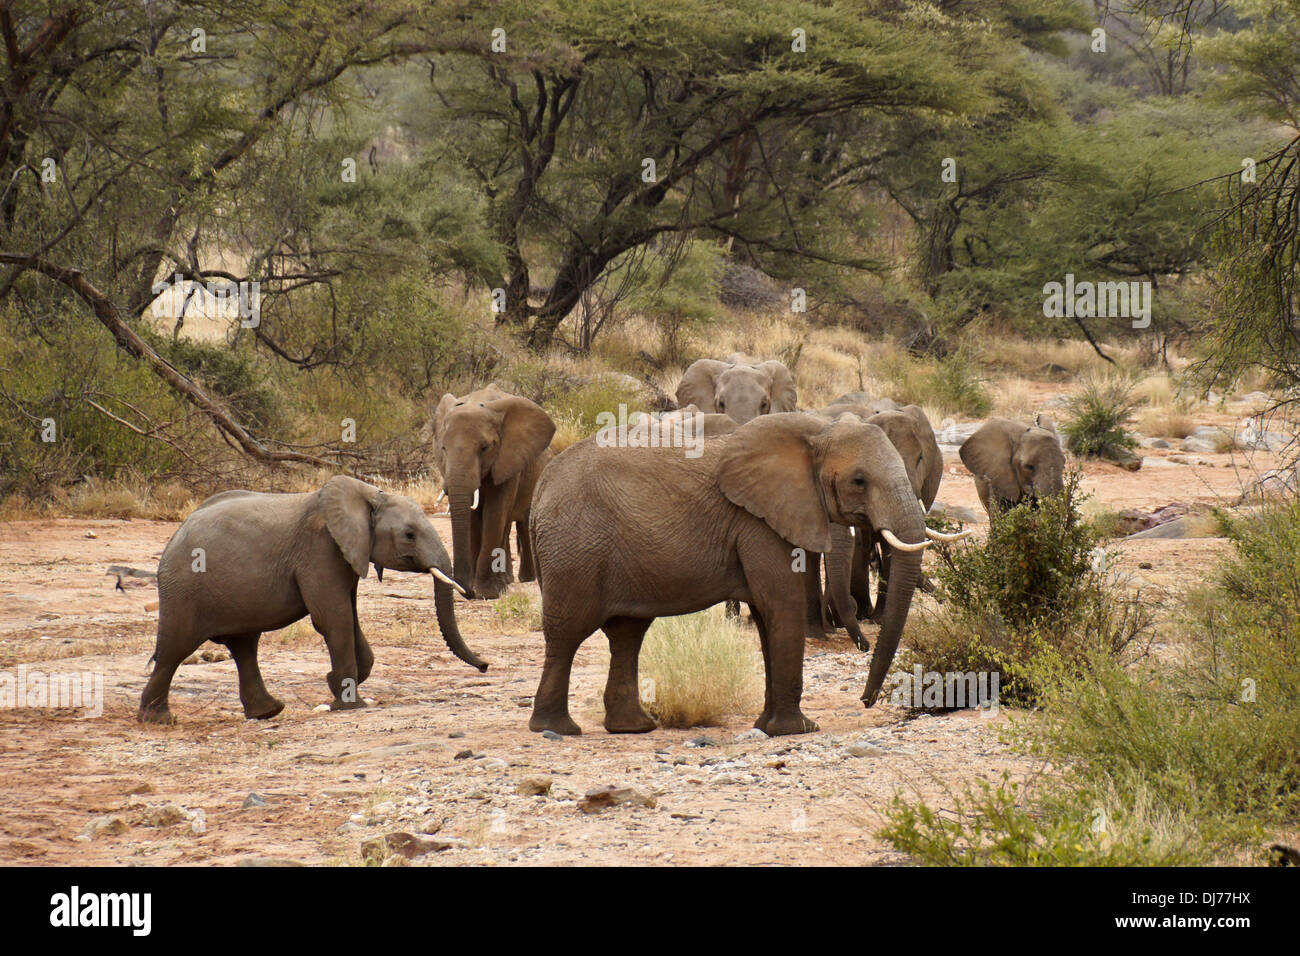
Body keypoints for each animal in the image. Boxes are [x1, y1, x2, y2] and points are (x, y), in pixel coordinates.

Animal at [138, 478, 488, 723]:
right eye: (410, 535)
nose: (485, 665)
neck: (369, 496)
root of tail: (175, 535)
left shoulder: (345, 554)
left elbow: (348, 615)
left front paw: (340, 685)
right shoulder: (320, 550)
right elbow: (333, 618)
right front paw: (348, 703)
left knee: (244, 646)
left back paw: (268, 711)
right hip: (183, 588)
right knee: (175, 649)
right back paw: (158, 720)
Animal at [434, 382, 556, 598]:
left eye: (484, 448)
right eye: (443, 448)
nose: (467, 591)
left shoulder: (509, 458)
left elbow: (495, 513)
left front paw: (487, 593)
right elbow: (473, 518)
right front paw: (481, 589)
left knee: (520, 523)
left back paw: (524, 579)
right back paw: (507, 581)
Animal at [527, 413, 935, 738]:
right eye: (859, 481)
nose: (866, 701)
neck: (816, 432)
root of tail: (541, 486)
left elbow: (767, 615)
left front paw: (766, 727)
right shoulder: (757, 523)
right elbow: (781, 604)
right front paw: (798, 730)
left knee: (627, 634)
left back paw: (634, 728)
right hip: (574, 547)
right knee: (567, 632)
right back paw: (556, 728)